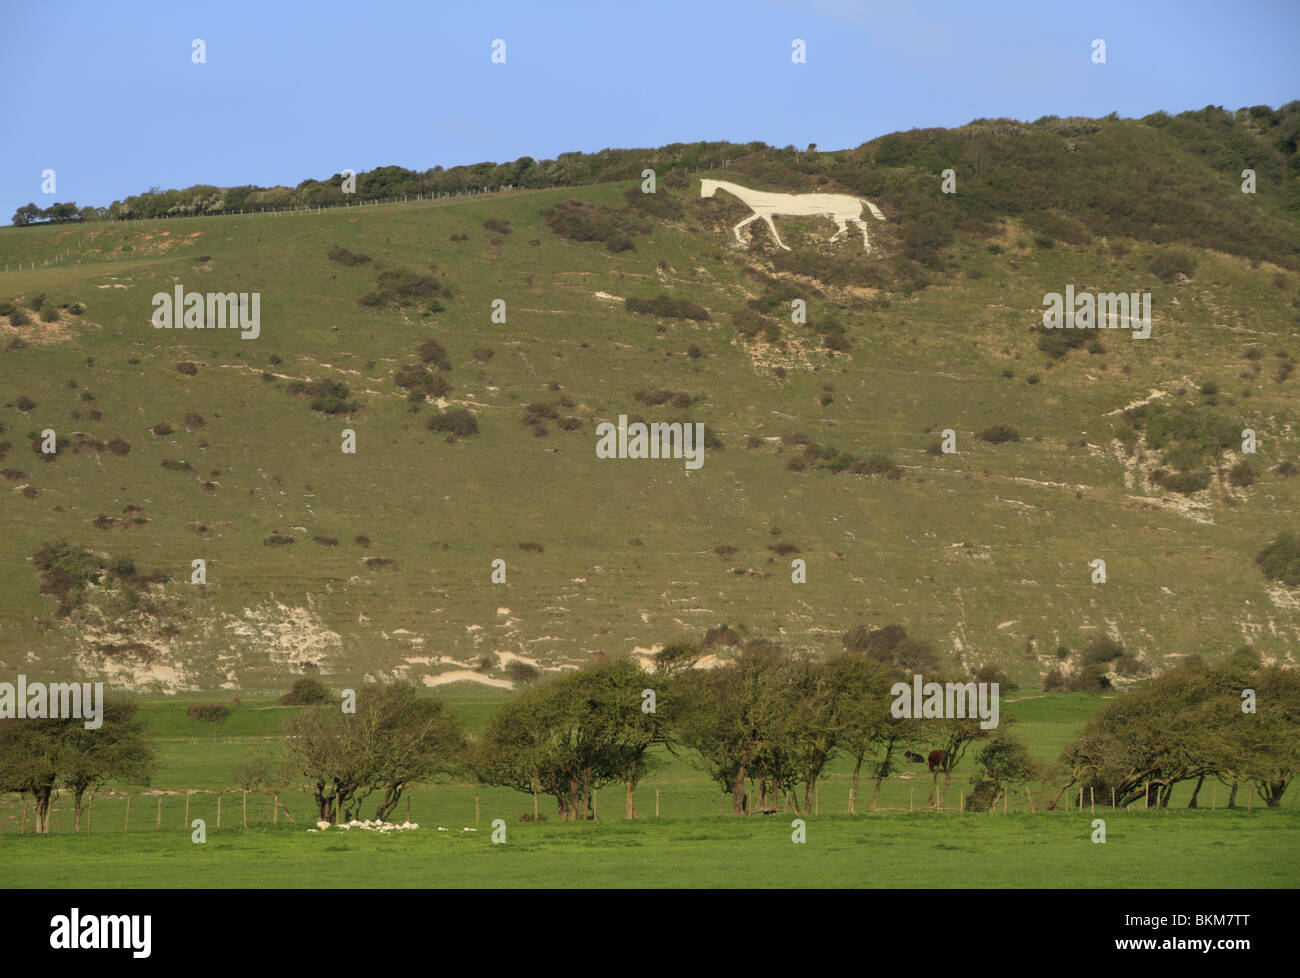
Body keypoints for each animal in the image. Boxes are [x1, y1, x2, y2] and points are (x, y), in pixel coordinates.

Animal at [699, 179, 886, 253]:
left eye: (706, 186)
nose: (703, 196)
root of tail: (858, 199)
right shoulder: (760, 214)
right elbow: (739, 225)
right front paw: (742, 240)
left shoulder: (765, 214)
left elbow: (773, 231)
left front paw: (785, 247)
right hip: (846, 216)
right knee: (862, 225)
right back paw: (866, 247)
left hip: (841, 216)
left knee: (847, 227)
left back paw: (832, 239)